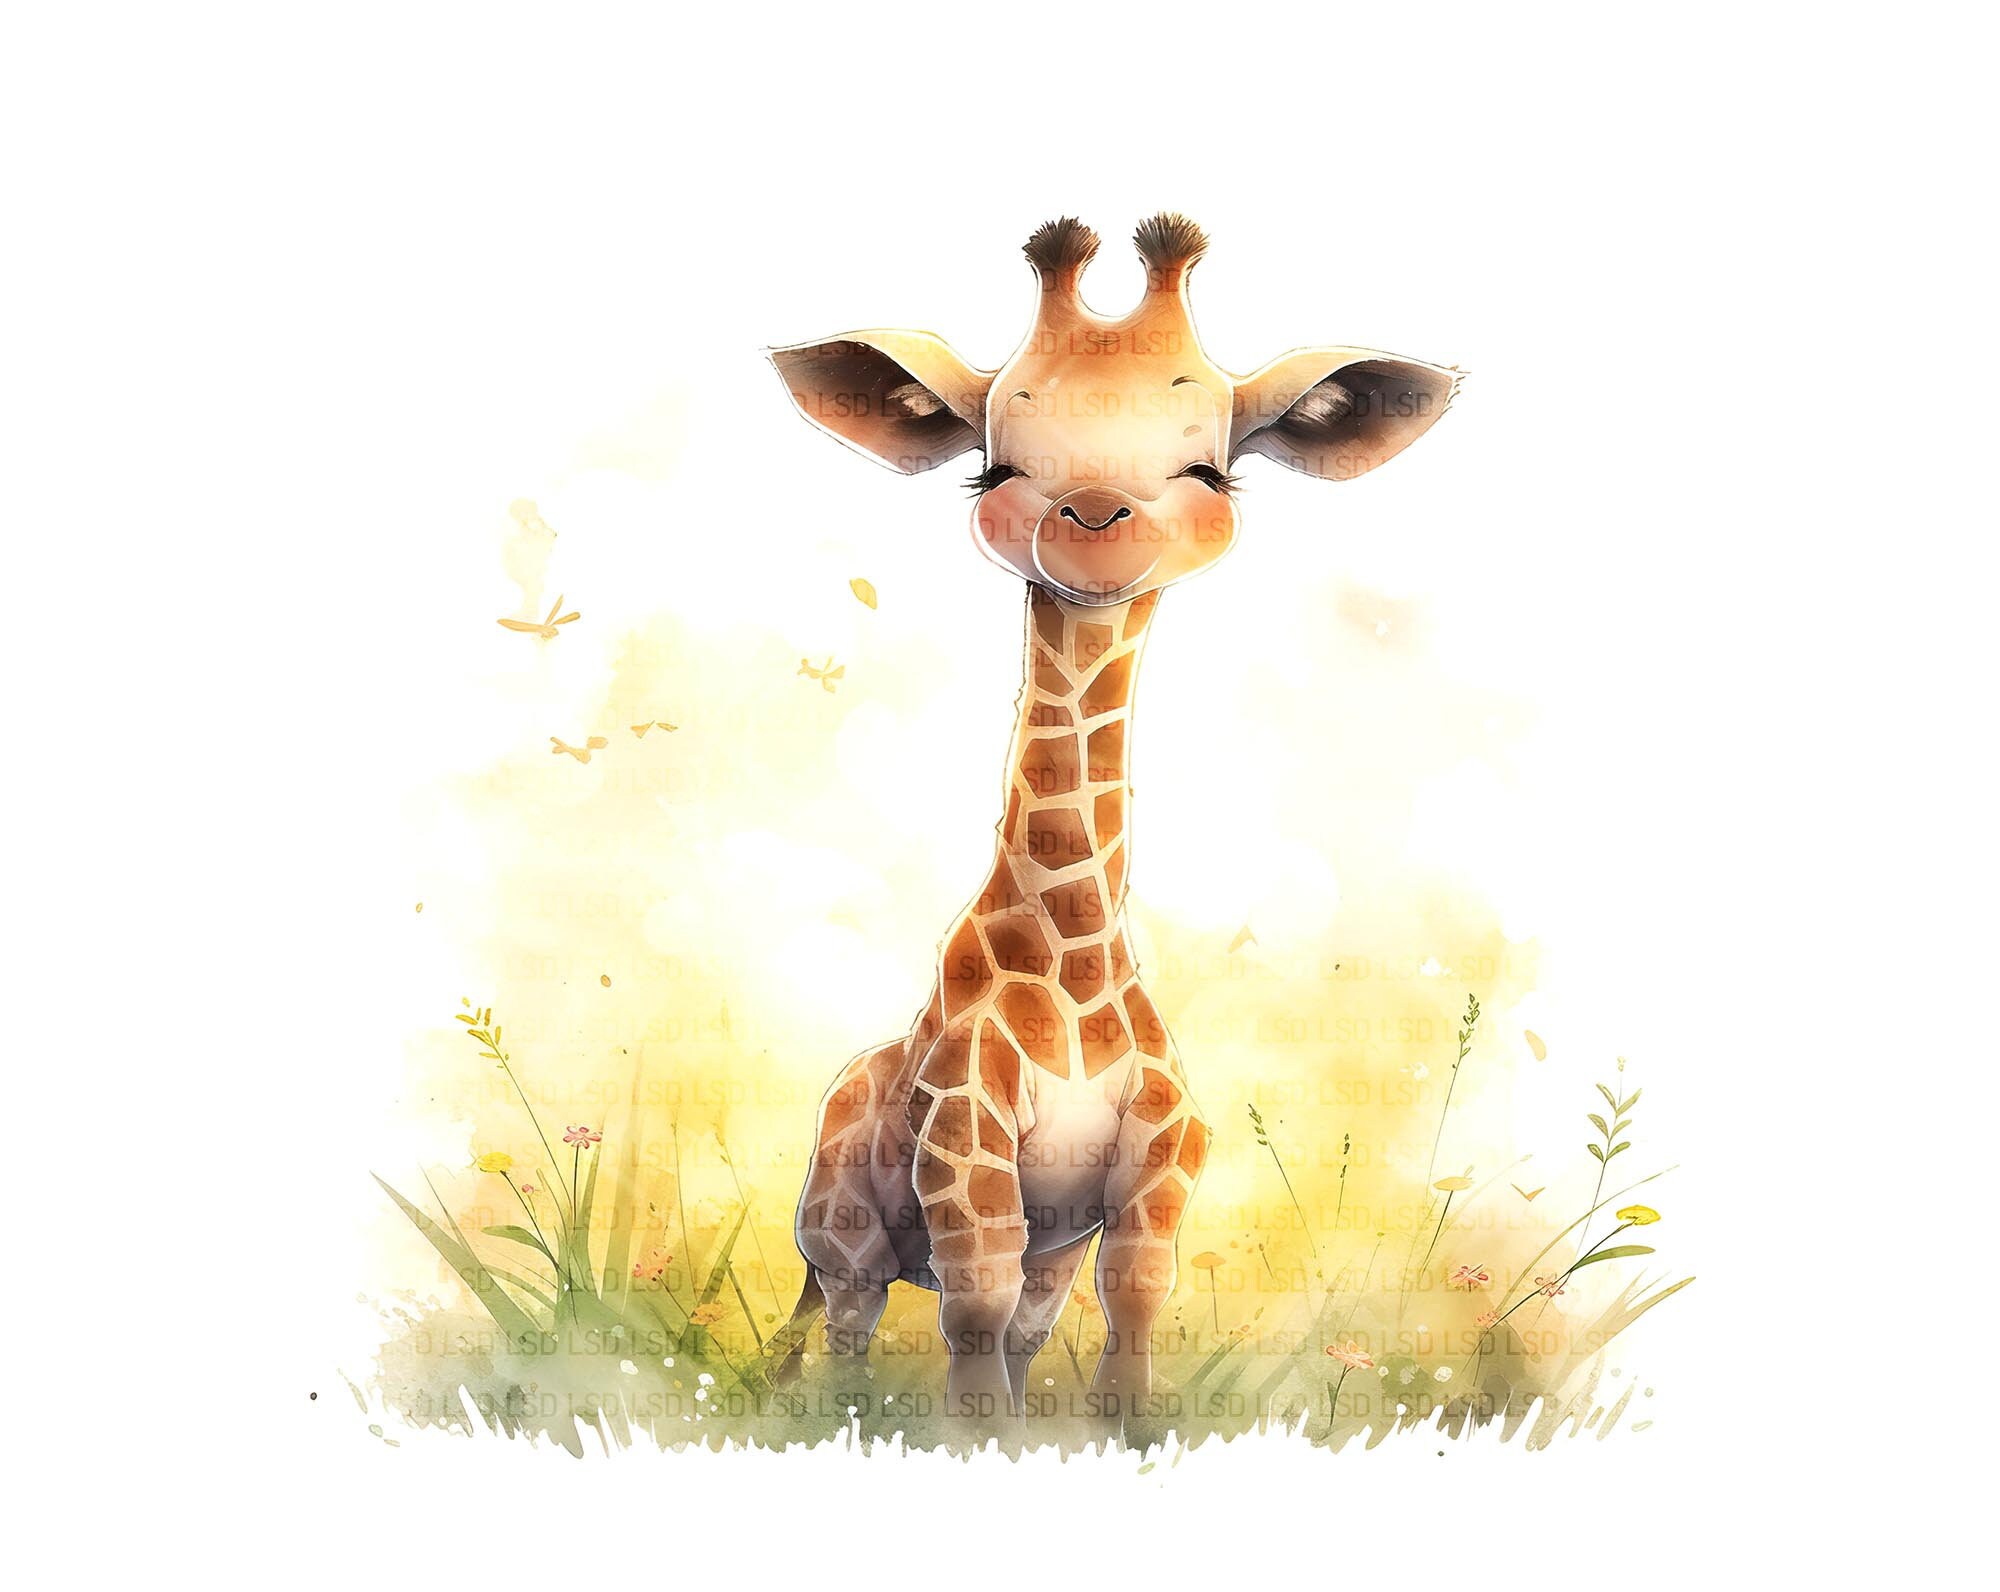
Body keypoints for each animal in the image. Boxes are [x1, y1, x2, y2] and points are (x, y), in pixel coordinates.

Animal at [768, 215, 1458, 1420]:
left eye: (1210, 469)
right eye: (994, 468)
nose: (1092, 524)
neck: (1080, 963)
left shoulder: (1152, 1168)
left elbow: (1123, 1314)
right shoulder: (966, 1156)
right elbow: (971, 1325)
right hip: (841, 1232)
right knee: (849, 1335)